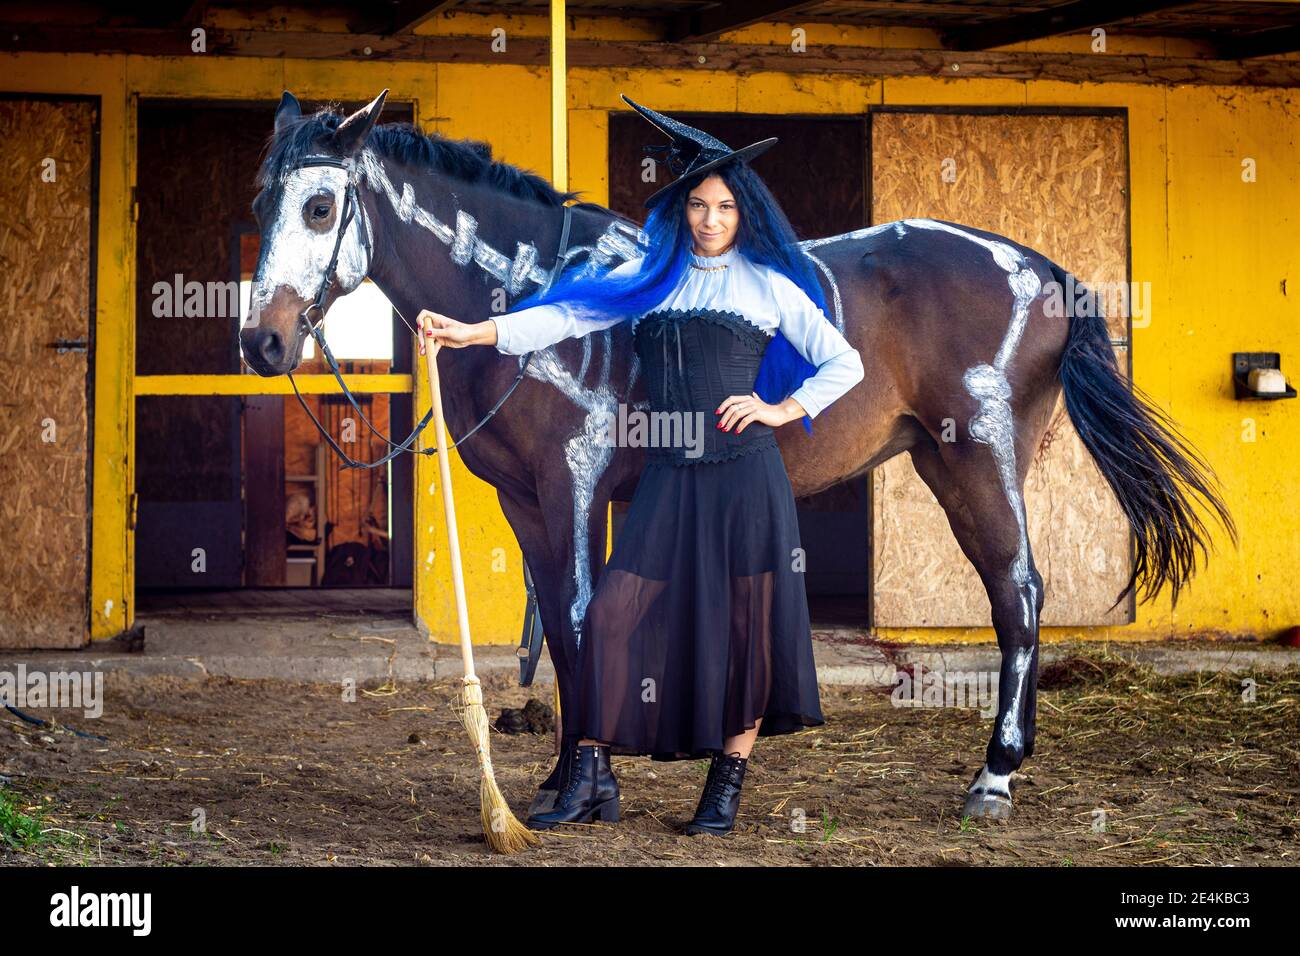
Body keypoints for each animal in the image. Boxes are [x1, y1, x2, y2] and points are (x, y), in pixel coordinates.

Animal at [239, 90, 1235, 822]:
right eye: (260, 205)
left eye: (320, 205)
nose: (262, 342)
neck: (534, 295)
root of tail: (1043, 269)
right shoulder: (530, 499)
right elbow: (559, 629)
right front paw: (565, 779)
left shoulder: (574, 484)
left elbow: (580, 616)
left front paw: (590, 789)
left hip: (977, 461)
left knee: (1018, 594)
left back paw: (994, 776)